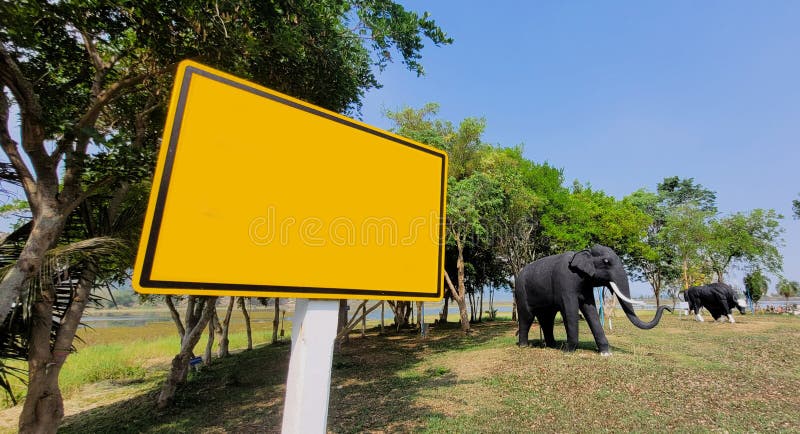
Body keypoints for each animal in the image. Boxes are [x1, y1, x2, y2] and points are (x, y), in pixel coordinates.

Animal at [514, 245, 671, 355]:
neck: (584, 251)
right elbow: (569, 311)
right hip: (521, 291)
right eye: (606, 261)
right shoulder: (565, 281)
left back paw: (552, 345)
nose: (668, 308)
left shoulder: (586, 286)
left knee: (547, 318)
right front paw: (567, 352)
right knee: (527, 316)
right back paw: (524, 346)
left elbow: (590, 309)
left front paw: (606, 353)